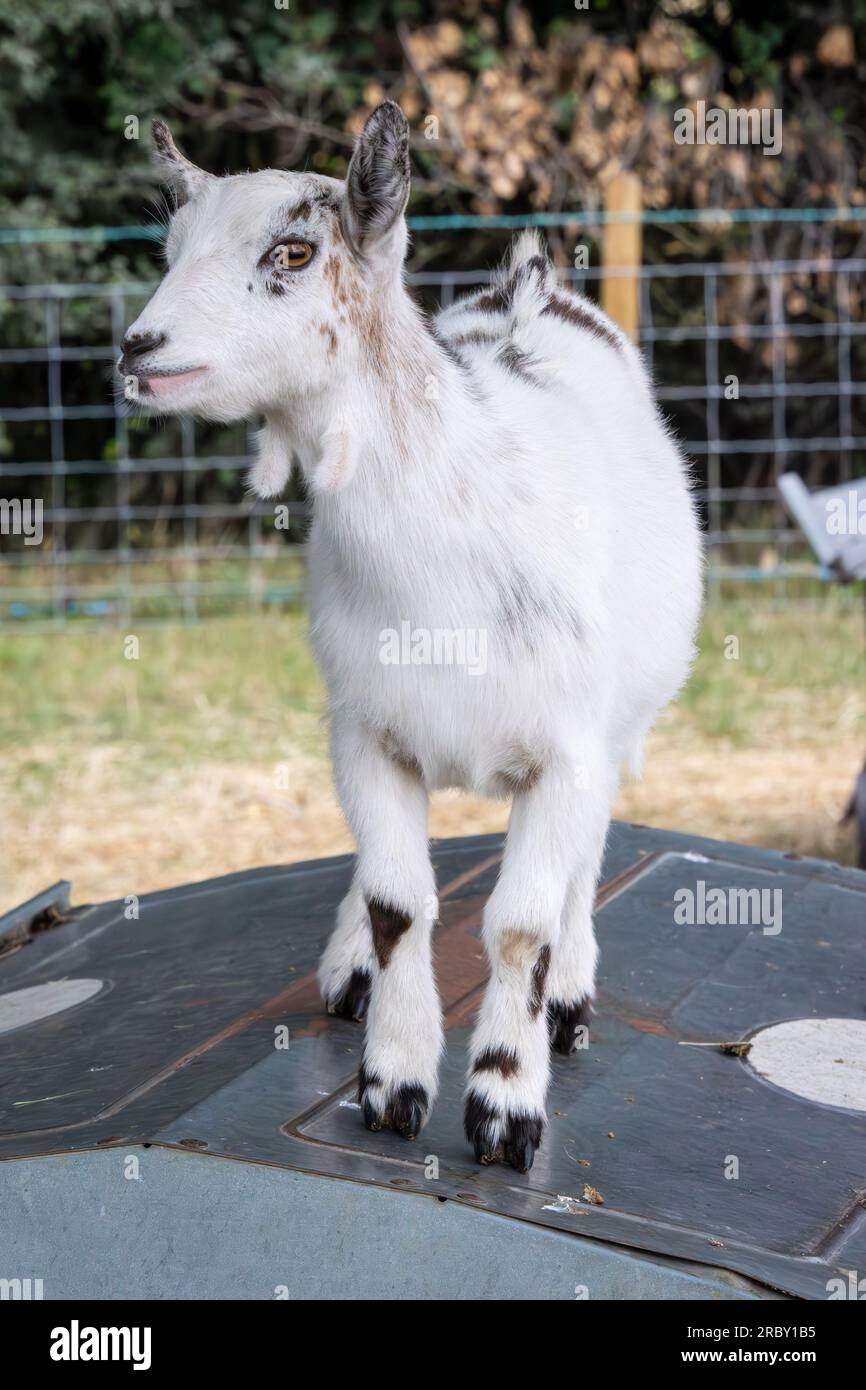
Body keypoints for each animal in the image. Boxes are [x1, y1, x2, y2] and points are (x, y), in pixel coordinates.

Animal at [120, 102, 703, 1172]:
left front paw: (505, 1105)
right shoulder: (367, 733)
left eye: (294, 250)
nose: (140, 350)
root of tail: (529, 287)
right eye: (173, 249)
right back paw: (348, 967)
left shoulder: (566, 749)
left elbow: (518, 925)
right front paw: (391, 1083)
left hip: (619, 725)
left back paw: (569, 999)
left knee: (587, 858)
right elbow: (399, 905)